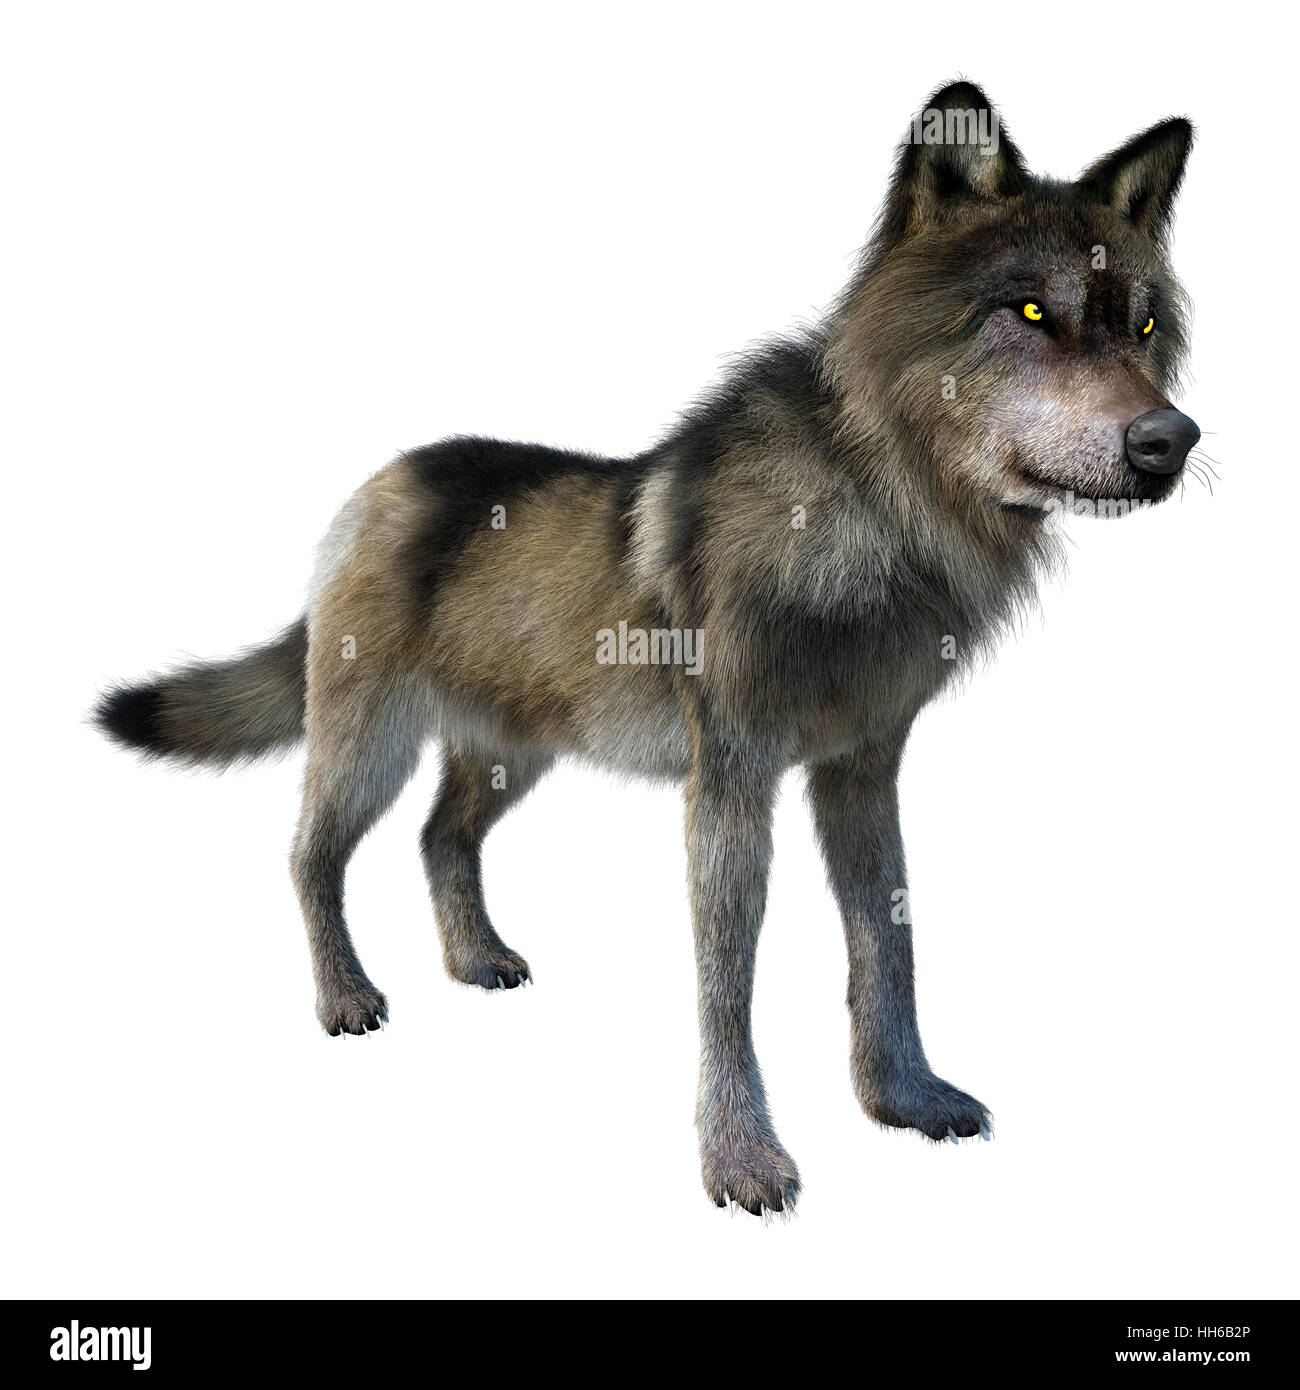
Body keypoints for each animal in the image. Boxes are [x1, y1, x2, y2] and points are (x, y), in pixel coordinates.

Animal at [95, 82, 1199, 1216]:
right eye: (1031, 313)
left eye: (1143, 325)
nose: (1172, 441)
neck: (874, 516)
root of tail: (377, 484)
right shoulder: (733, 779)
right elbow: (729, 984)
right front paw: (741, 1159)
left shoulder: (859, 769)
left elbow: (888, 944)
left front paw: (903, 1099)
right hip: (374, 748)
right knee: (310, 853)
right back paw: (345, 997)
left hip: (510, 756)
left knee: (440, 839)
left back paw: (477, 960)